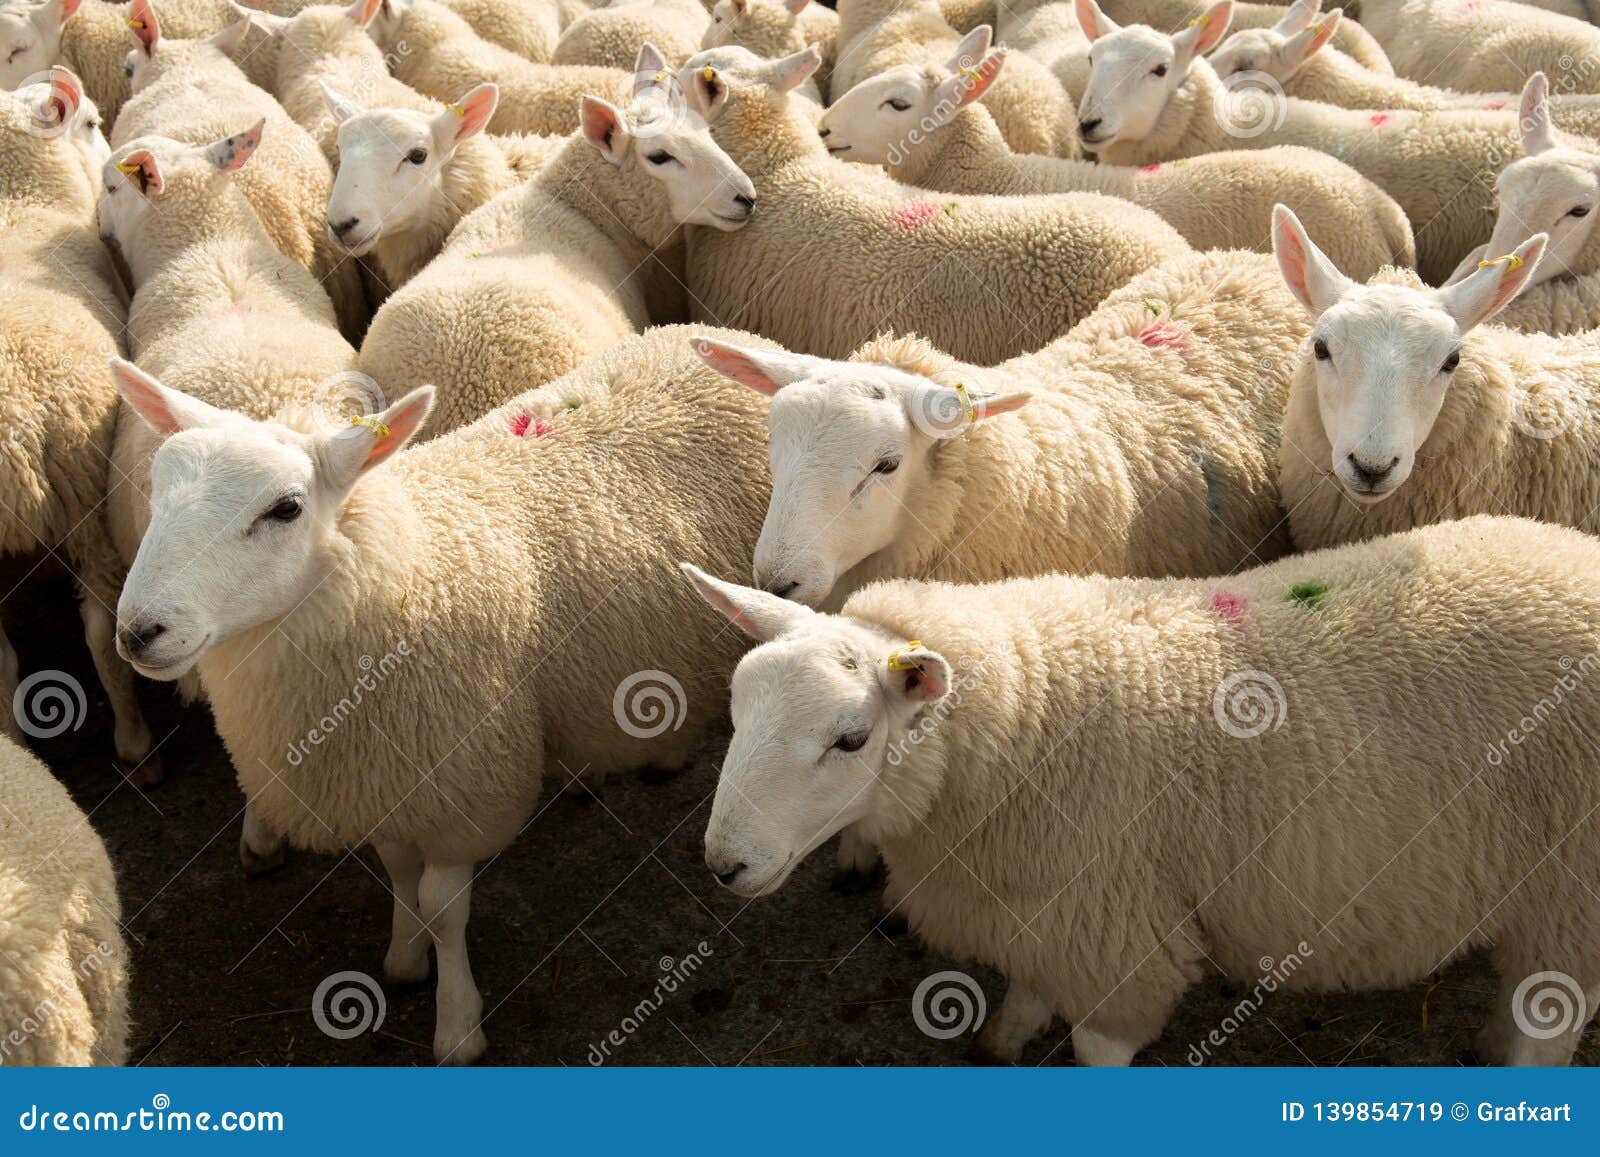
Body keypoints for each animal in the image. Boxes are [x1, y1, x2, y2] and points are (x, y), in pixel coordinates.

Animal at [105, 319, 781, 1064]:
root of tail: (715, 332)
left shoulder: (459, 785)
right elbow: (400, 873)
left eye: (285, 508)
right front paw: (404, 958)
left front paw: (457, 1023)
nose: (138, 631)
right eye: (156, 489)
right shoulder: (386, 777)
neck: (408, 568)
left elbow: (444, 907)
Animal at [686, 511, 1600, 1066]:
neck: (1032, 713)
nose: (724, 864)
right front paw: (1001, 1040)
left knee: (1551, 1023)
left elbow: (1100, 1042)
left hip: (1572, 889)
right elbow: (1025, 988)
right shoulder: (1047, 909)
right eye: (737, 707)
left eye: (851, 738)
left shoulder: (1114, 933)